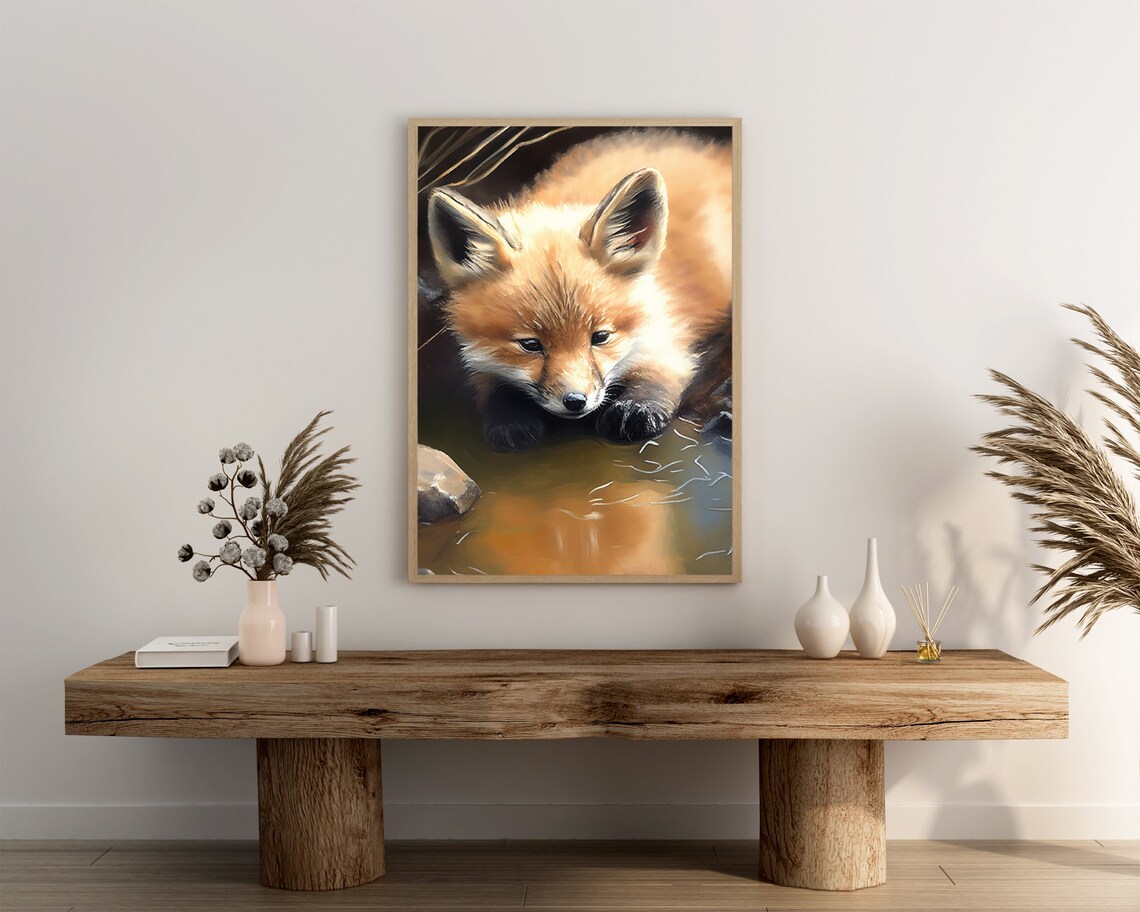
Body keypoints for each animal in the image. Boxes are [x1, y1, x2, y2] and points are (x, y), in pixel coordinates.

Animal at [427, 130, 733, 452]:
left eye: (600, 337)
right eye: (530, 344)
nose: (575, 402)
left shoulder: (664, 334)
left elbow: (664, 372)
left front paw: (636, 408)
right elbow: (492, 386)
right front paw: (510, 419)